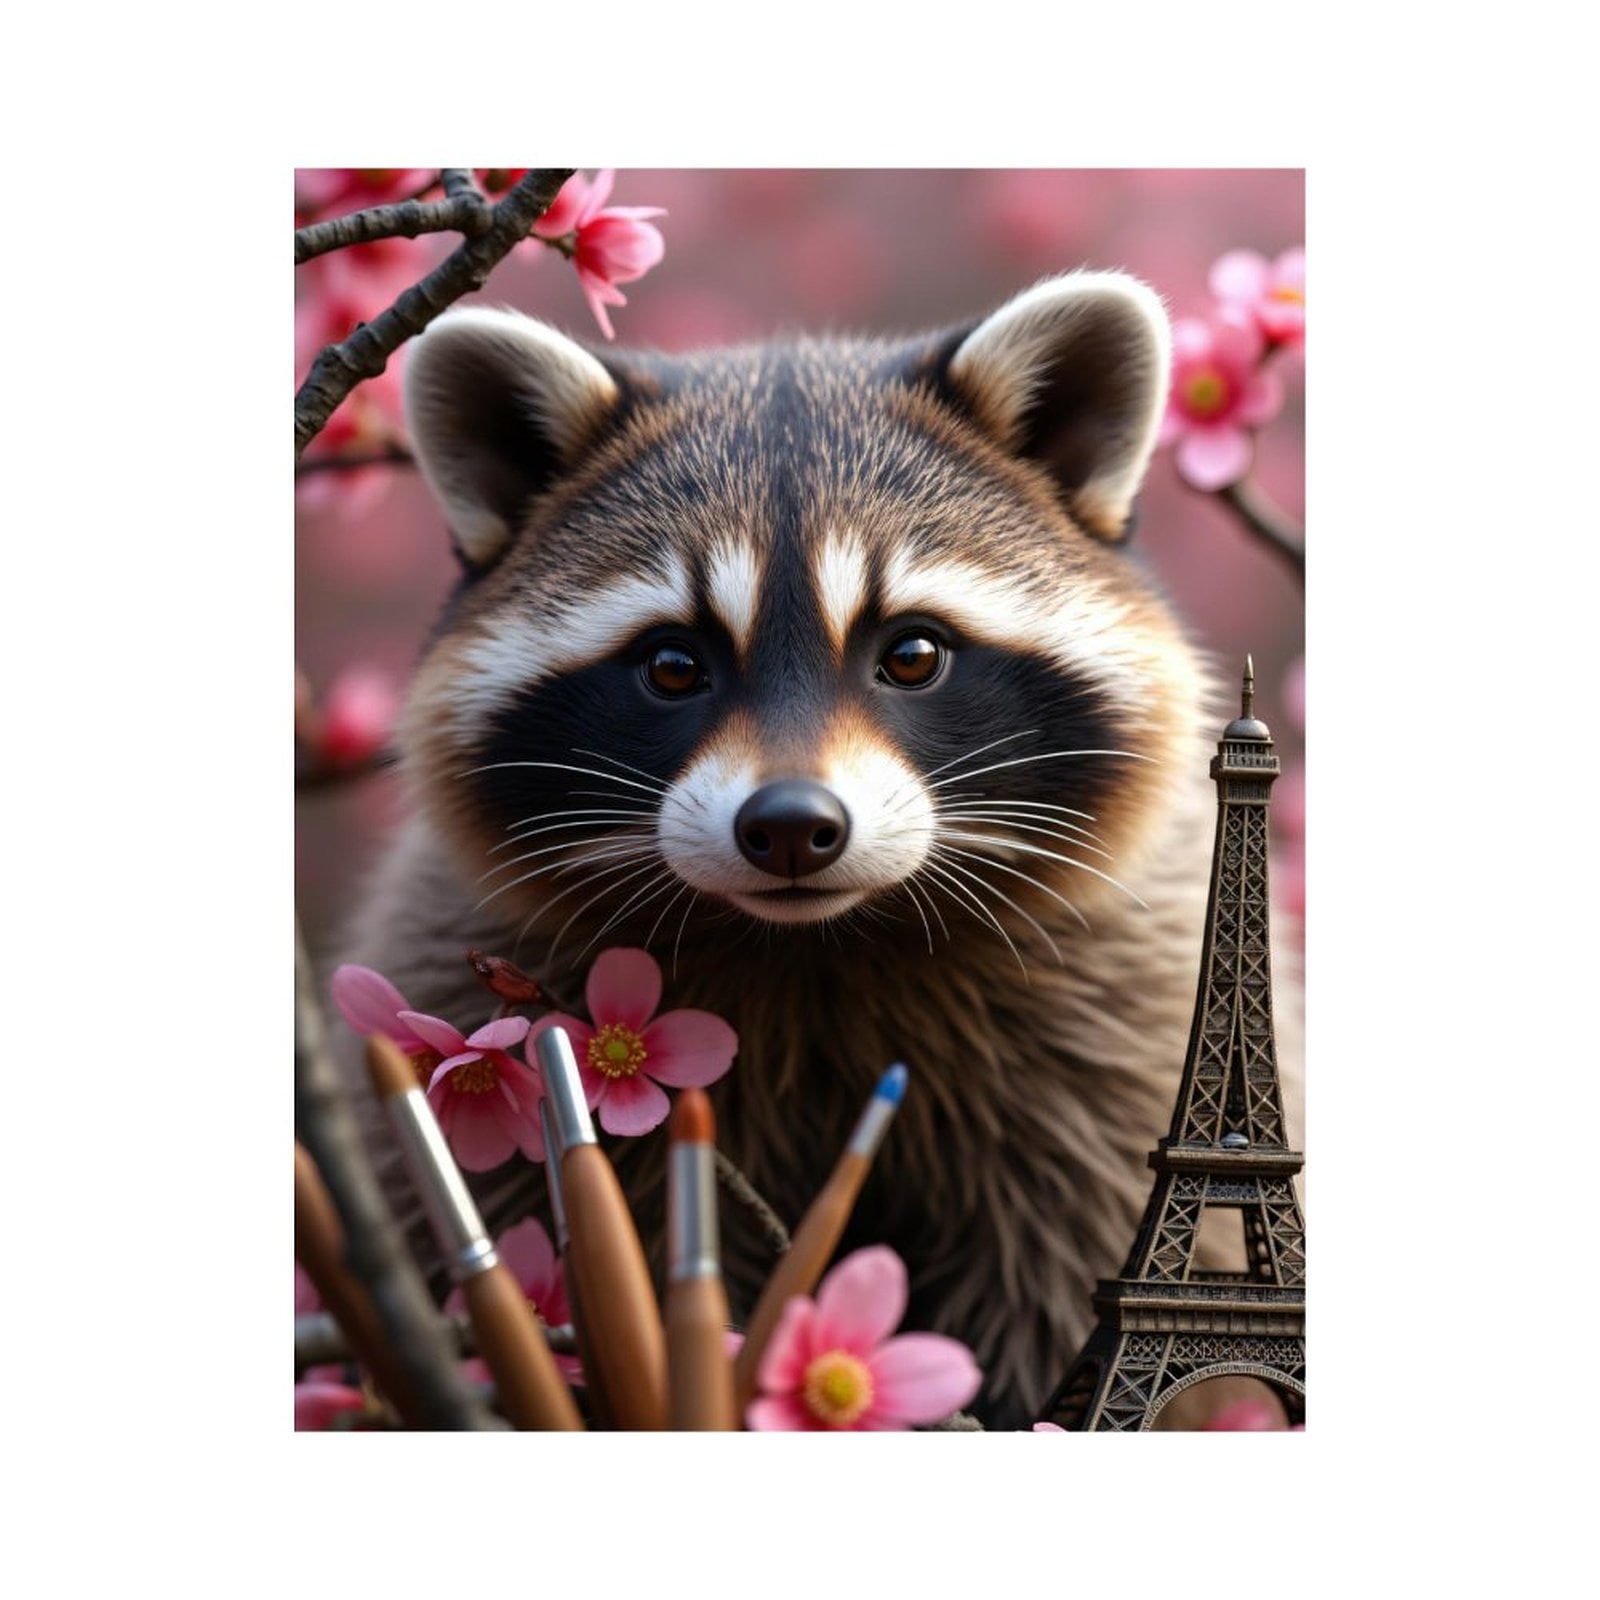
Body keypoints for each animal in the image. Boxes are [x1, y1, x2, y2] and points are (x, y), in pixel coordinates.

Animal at [333, 270, 1303, 1429]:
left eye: (914, 653)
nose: (791, 826)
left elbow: (1064, 1261)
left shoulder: (1111, 1028)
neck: (821, 942)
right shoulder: (464, 965)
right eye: (672, 665)